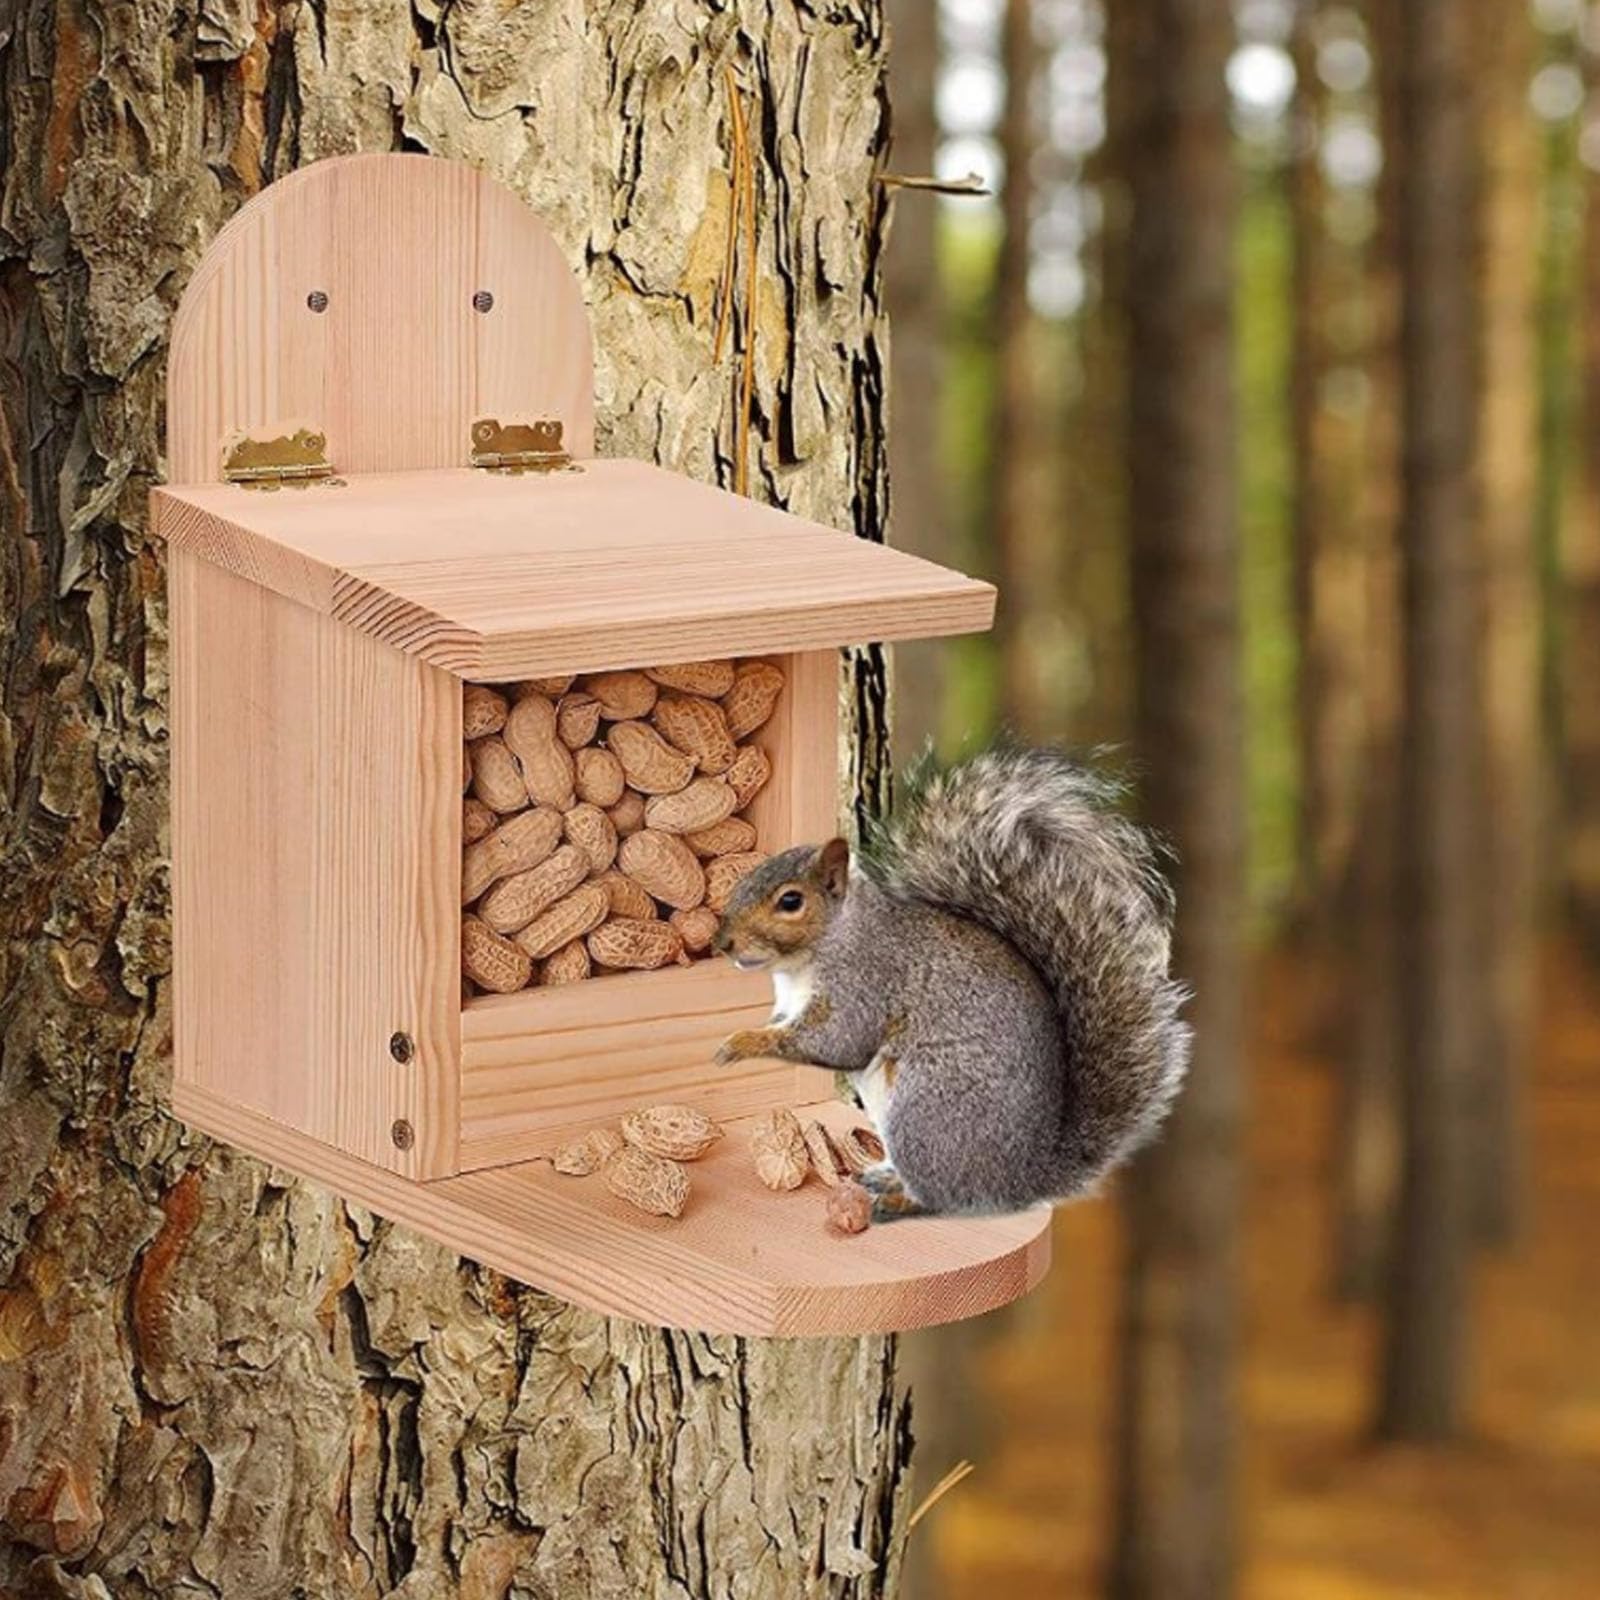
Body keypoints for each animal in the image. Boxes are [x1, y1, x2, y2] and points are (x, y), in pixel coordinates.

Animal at [711, 748, 1191, 1225]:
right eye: (744, 878)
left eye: (791, 901)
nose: (723, 941)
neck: (811, 955)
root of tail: (1024, 1179)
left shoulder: (865, 981)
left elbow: (837, 1041)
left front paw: (740, 1042)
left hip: (926, 1109)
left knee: (946, 1197)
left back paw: (900, 1199)